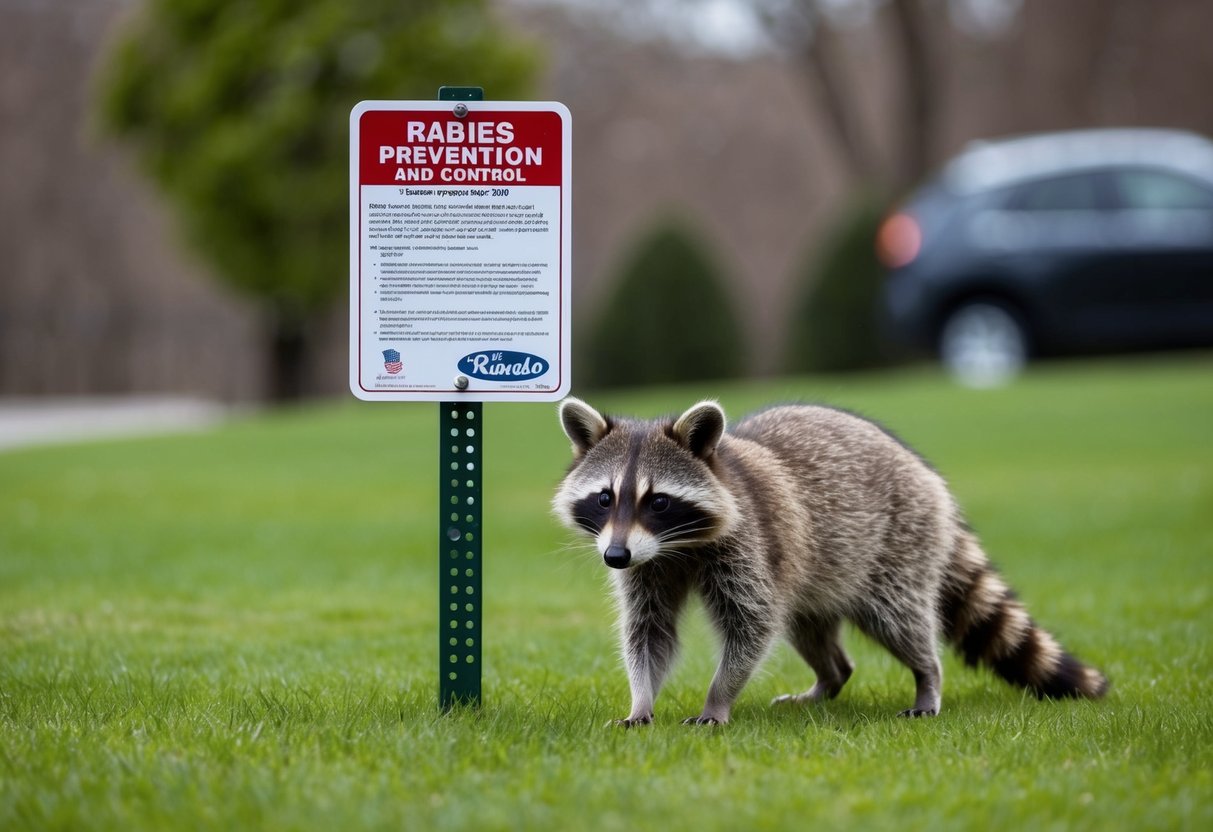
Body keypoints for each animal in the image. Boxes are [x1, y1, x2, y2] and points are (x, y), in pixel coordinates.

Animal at [552, 397, 1108, 726]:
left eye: (659, 501)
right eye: (604, 498)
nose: (615, 556)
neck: (674, 546)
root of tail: (927, 476)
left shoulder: (751, 544)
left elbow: (751, 626)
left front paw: (717, 699)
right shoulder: (648, 566)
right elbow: (650, 631)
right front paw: (641, 699)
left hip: (900, 544)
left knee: (900, 620)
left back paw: (927, 679)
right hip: (818, 577)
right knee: (808, 628)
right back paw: (829, 679)